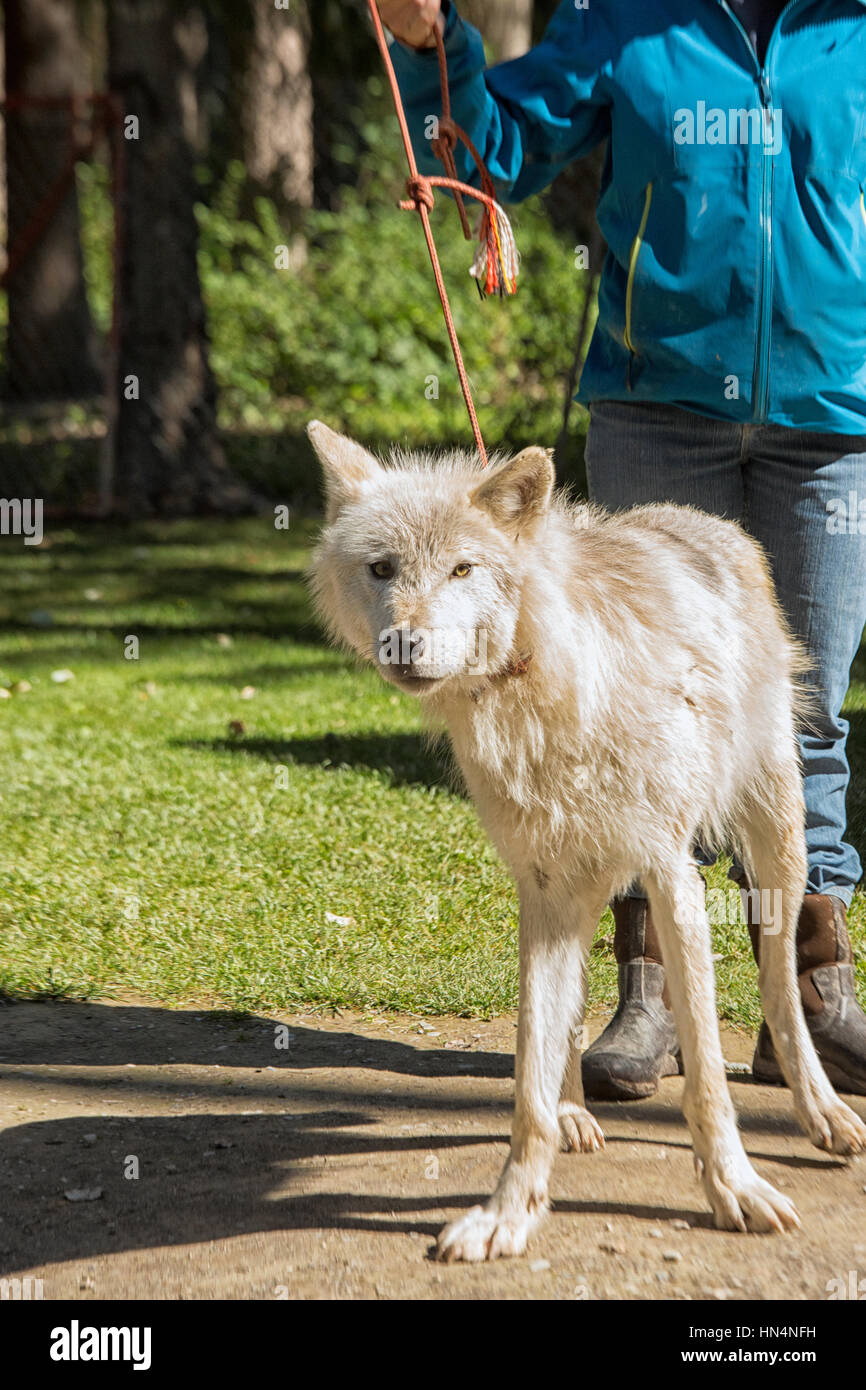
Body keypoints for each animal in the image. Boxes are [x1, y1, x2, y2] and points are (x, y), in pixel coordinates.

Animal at [308, 420, 866, 1262]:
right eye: (382, 569)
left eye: (463, 568)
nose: (405, 644)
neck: (540, 683)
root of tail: (698, 519)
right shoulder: (544, 881)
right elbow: (529, 1076)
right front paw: (511, 1210)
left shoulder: (673, 874)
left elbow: (708, 1075)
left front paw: (736, 1189)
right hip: (573, 883)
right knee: (565, 1014)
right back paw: (575, 1112)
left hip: (777, 842)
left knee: (779, 986)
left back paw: (820, 1109)